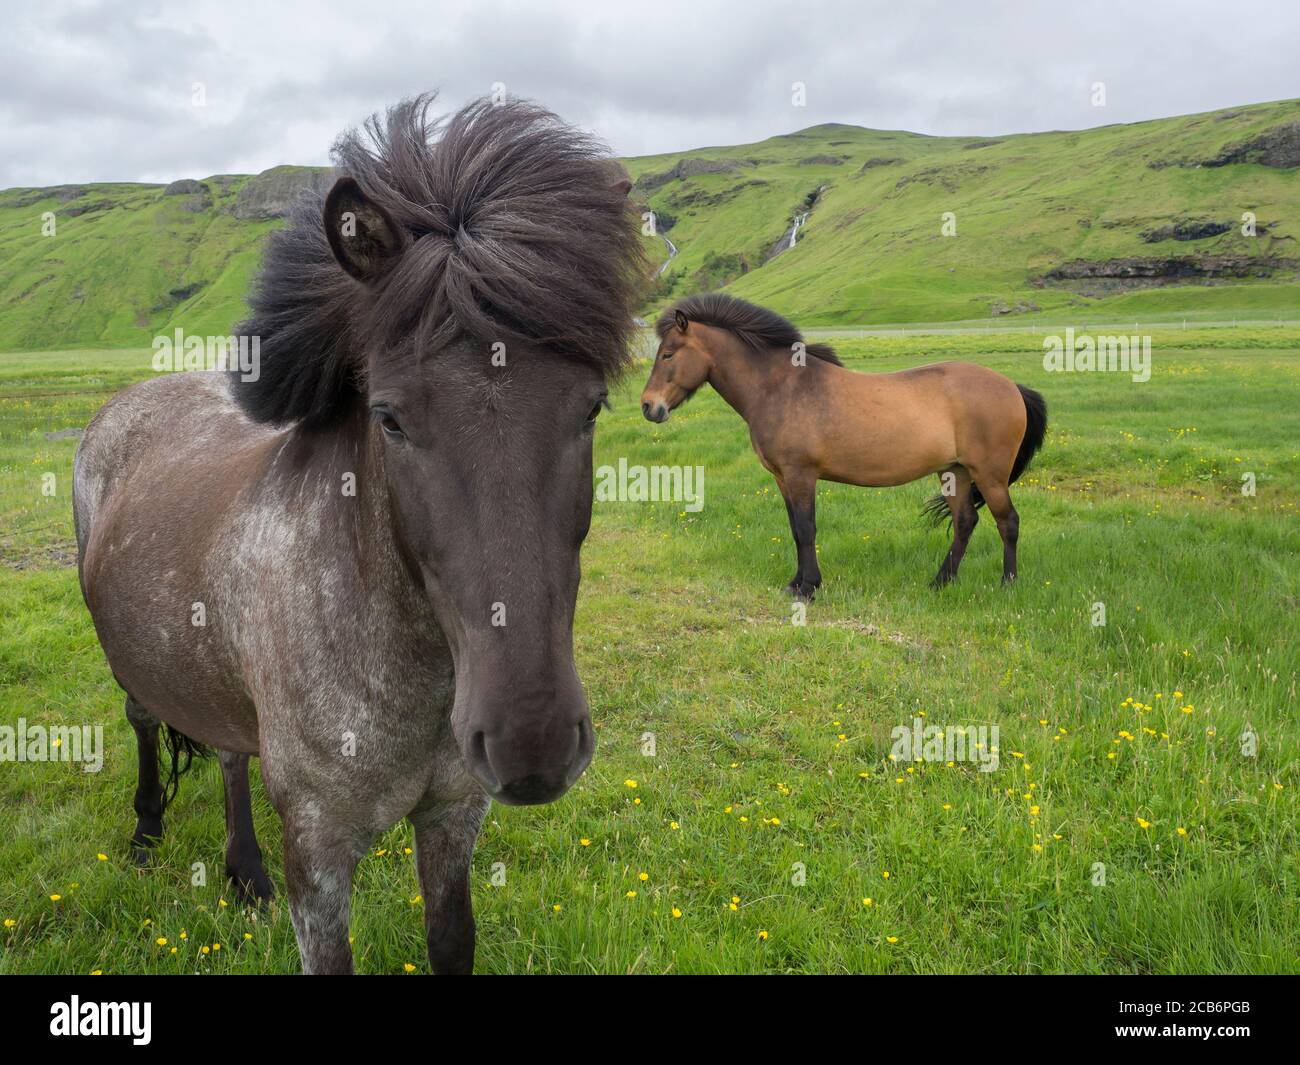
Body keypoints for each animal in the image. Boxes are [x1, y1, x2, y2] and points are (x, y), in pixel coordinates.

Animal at [73, 95, 644, 974]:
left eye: (591, 407)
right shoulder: (319, 850)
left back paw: (244, 870)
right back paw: (145, 833)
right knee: (143, 719)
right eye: (391, 418)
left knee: (230, 748)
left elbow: (450, 941)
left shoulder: (452, 816)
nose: (534, 741)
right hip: (134, 661)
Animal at [639, 294, 1047, 597]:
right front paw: (795, 583)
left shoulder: (801, 474)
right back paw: (940, 582)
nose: (648, 406)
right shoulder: (783, 478)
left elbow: (806, 528)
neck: (781, 386)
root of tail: (1013, 387)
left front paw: (809, 588)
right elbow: (795, 528)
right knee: (965, 522)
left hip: (989, 476)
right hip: (956, 472)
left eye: (668, 354)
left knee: (1008, 522)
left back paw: (1007, 584)